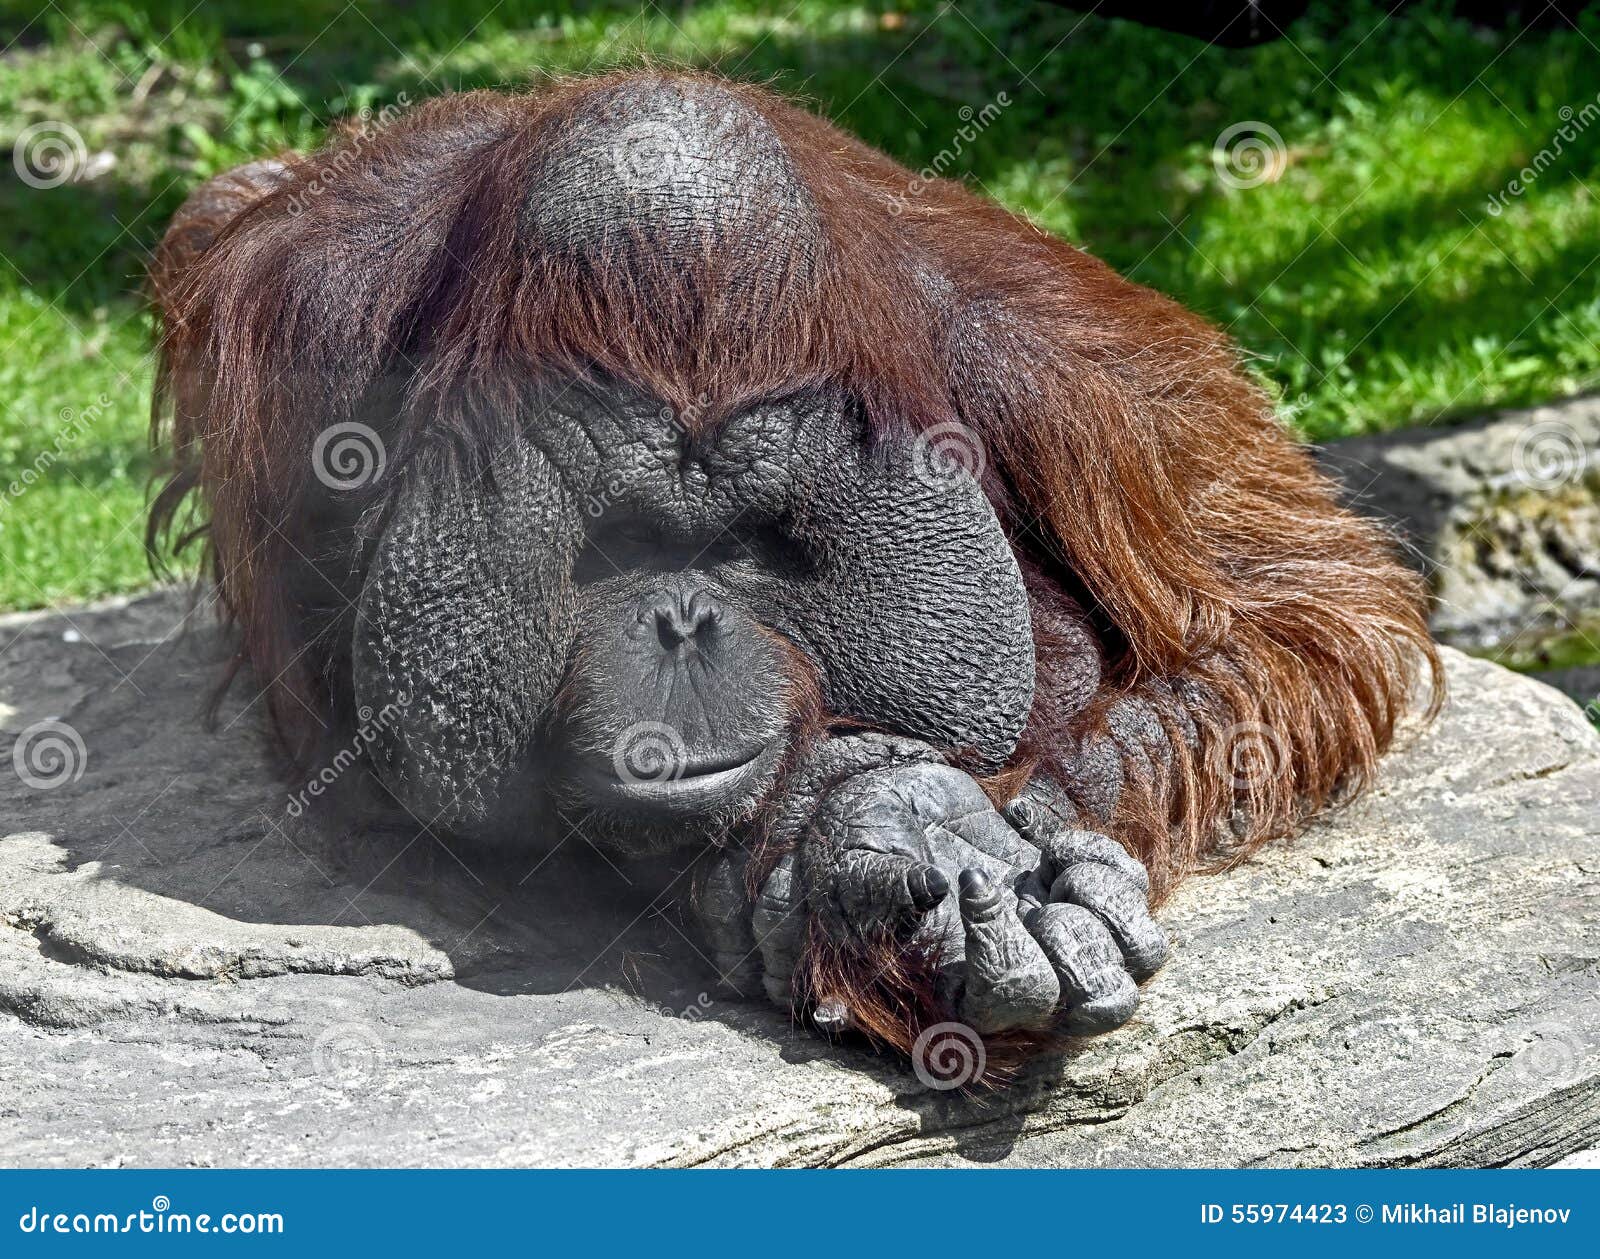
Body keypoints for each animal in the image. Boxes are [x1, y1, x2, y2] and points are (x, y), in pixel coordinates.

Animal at [148, 70, 1438, 1080]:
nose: (681, 617)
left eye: (747, 549)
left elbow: (1291, 620)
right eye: (617, 553)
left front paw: (916, 826)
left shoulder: (1062, 364)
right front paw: (859, 836)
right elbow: (369, 787)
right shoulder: (298, 363)